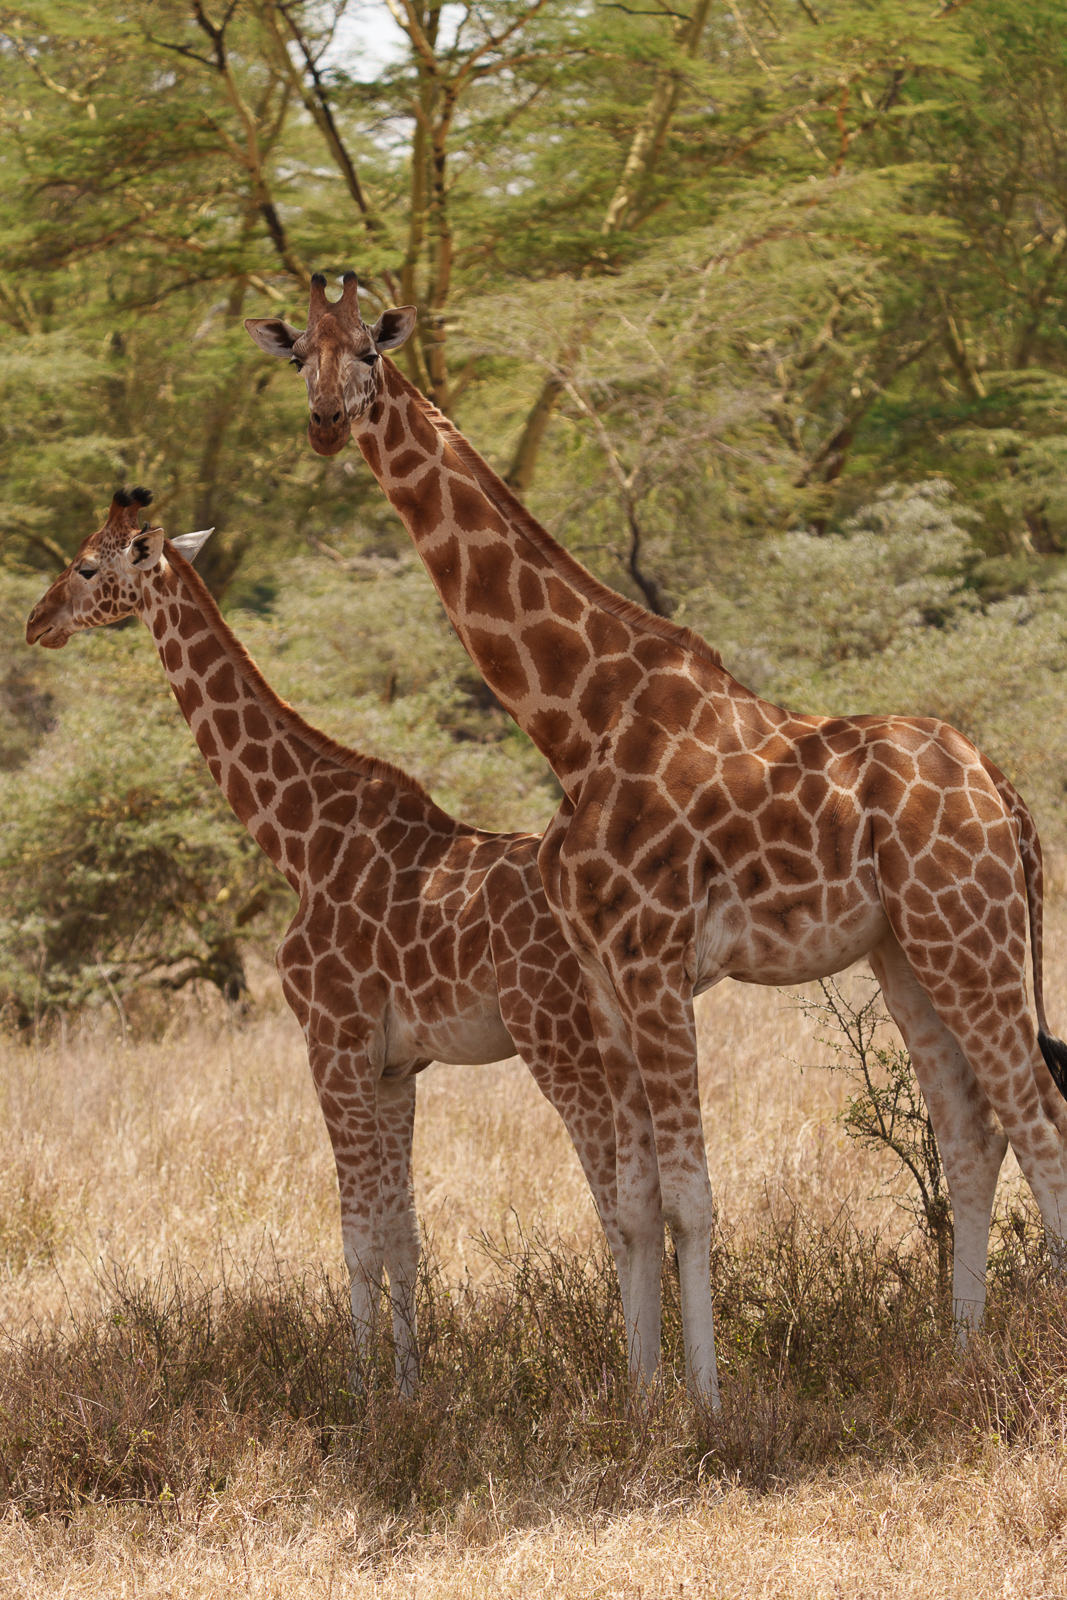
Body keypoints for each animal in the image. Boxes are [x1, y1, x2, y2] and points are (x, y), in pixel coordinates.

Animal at [25, 487, 627, 1395]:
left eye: (88, 566)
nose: (36, 621)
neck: (298, 842)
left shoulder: (329, 1043)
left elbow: (357, 1238)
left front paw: (360, 1396)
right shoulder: (395, 1067)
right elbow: (403, 1238)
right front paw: (411, 1388)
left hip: (556, 1039)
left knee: (623, 1199)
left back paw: (642, 1381)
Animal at [247, 274, 1067, 1406]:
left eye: (369, 347)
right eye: (299, 355)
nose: (327, 421)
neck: (574, 721)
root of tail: (1003, 791)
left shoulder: (651, 962)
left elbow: (687, 1197)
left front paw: (708, 1406)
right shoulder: (602, 978)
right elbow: (634, 1198)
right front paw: (642, 1402)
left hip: (968, 936)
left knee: (1040, 1119)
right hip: (906, 949)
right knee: (969, 1128)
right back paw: (960, 1354)